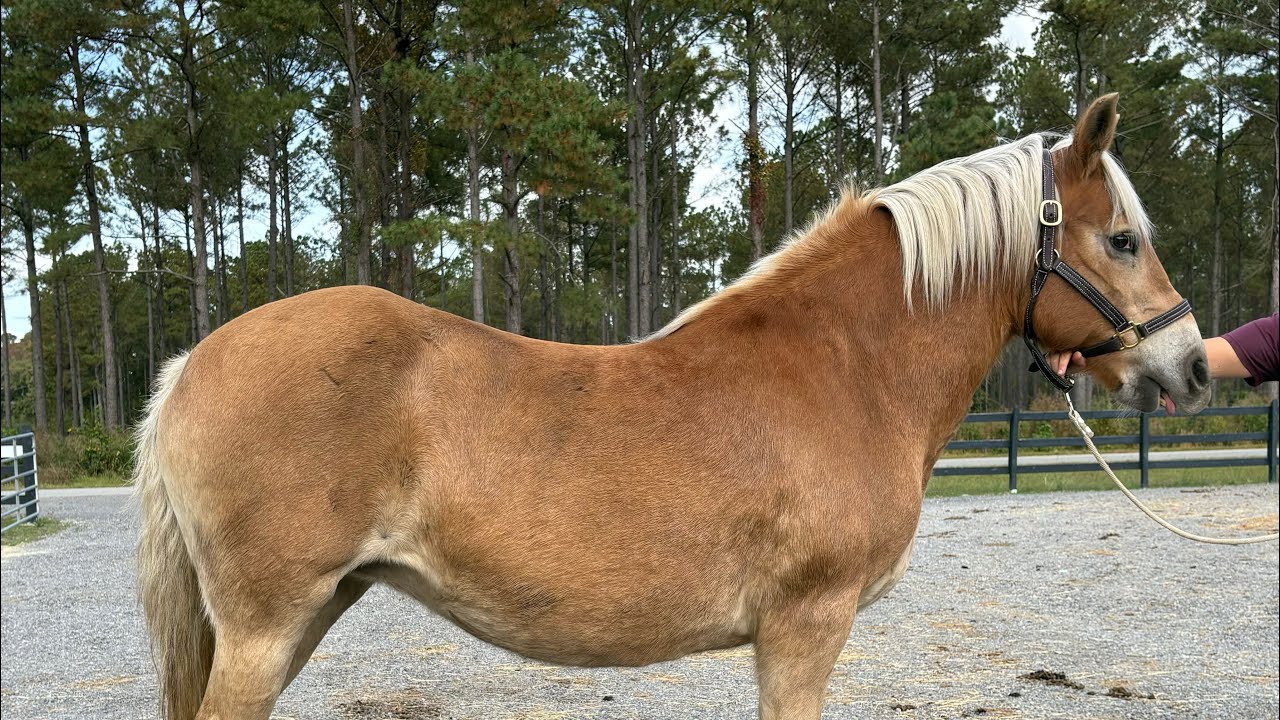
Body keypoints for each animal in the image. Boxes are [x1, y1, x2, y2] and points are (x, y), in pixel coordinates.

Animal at [134, 93, 1211, 720]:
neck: (842, 368)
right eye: (1121, 239)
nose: (1191, 365)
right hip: (267, 627)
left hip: (306, 614)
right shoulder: (804, 630)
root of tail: (189, 362)